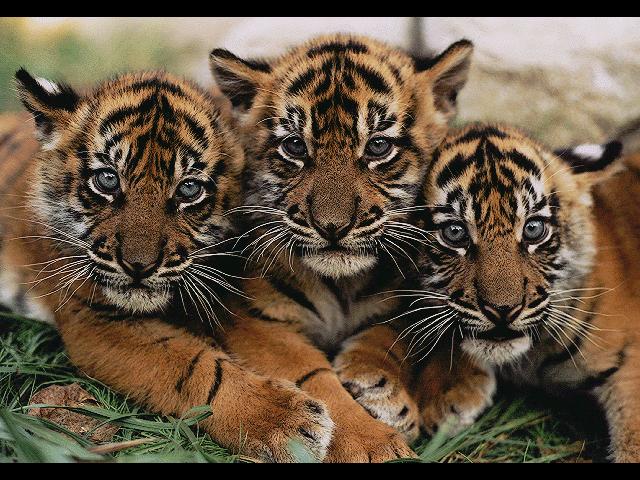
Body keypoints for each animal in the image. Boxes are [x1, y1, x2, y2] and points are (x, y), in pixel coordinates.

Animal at [0, 69, 339, 462]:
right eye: (107, 180)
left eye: (189, 189)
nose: (138, 266)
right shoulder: (95, 318)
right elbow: (196, 368)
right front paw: (287, 422)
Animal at [208, 33, 474, 461]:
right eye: (295, 147)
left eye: (378, 146)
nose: (332, 227)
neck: (342, 285)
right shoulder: (257, 320)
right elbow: (314, 379)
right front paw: (373, 445)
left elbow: (387, 337)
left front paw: (379, 385)